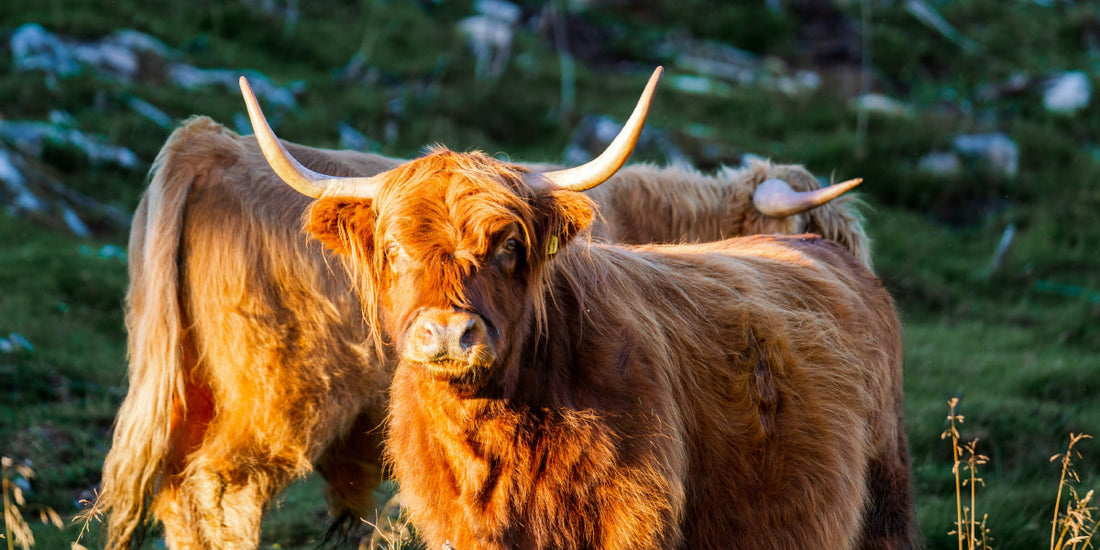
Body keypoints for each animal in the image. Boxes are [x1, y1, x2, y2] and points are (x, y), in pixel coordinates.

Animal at [93, 76, 871, 549]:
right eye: (824, 238)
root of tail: (209, 143)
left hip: (191, 390)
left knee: (177, 493)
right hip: (281, 397)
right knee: (219, 490)